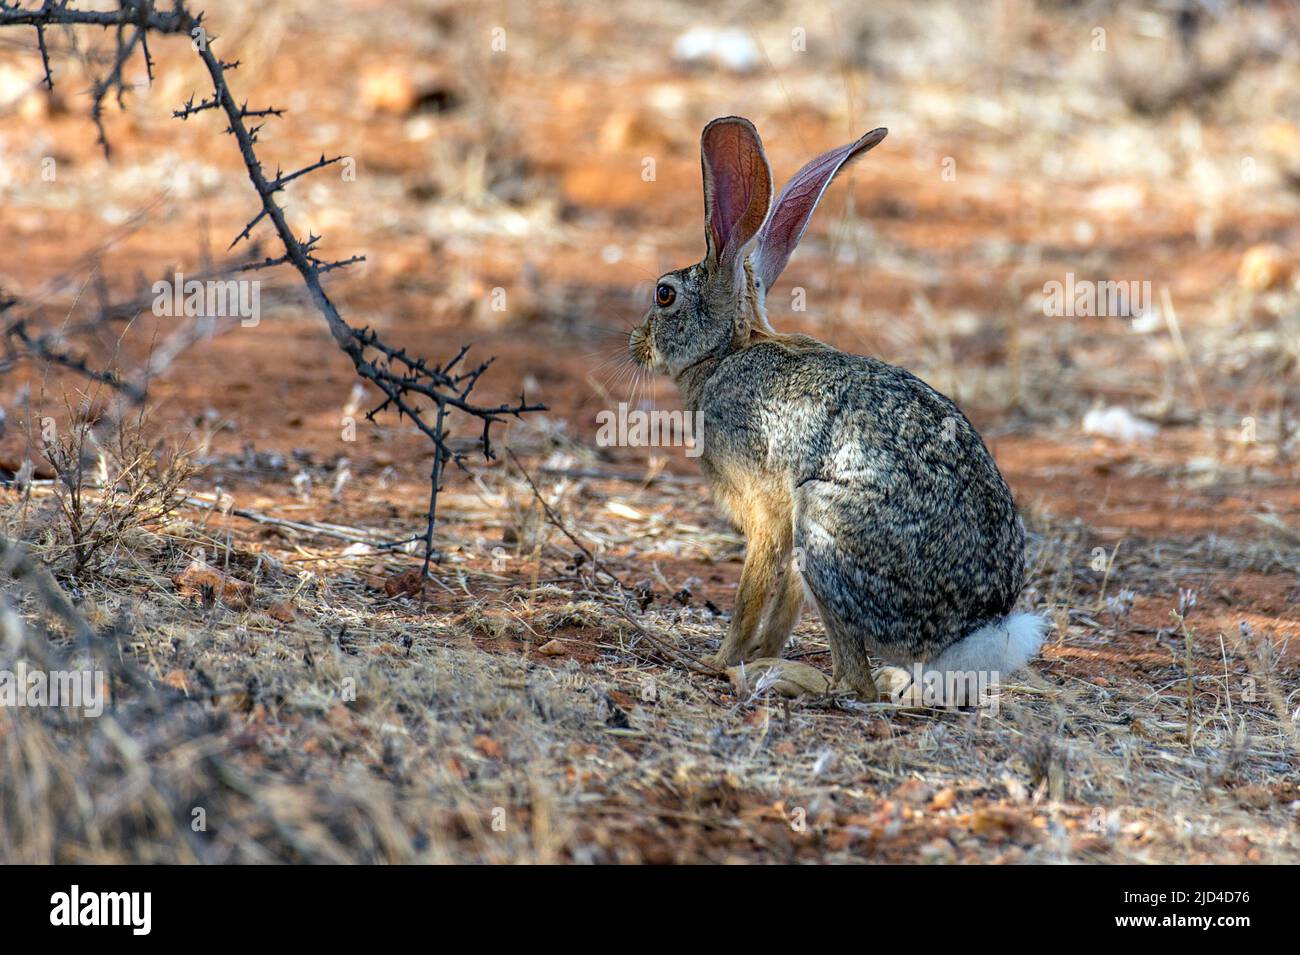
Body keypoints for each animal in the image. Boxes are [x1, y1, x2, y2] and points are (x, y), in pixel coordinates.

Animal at [628, 116, 1046, 702]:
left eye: (664, 295)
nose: (637, 344)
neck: (727, 351)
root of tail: (978, 629)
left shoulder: (769, 510)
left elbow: (752, 590)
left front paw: (720, 660)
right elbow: (784, 603)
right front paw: (756, 651)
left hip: (823, 521)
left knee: (854, 683)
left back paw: (777, 676)